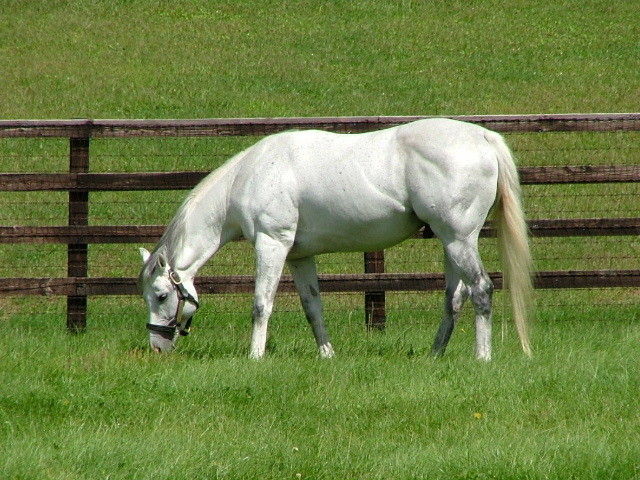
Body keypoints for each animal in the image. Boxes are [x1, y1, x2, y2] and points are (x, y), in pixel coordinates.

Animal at [139, 118, 533, 360]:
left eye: (161, 295)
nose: (156, 346)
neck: (250, 176)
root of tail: (483, 137)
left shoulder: (272, 244)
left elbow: (261, 303)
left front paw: (255, 356)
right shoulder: (299, 256)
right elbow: (313, 307)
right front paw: (327, 354)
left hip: (459, 238)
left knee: (481, 290)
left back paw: (482, 357)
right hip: (450, 243)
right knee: (454, 298)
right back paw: (434, 356)